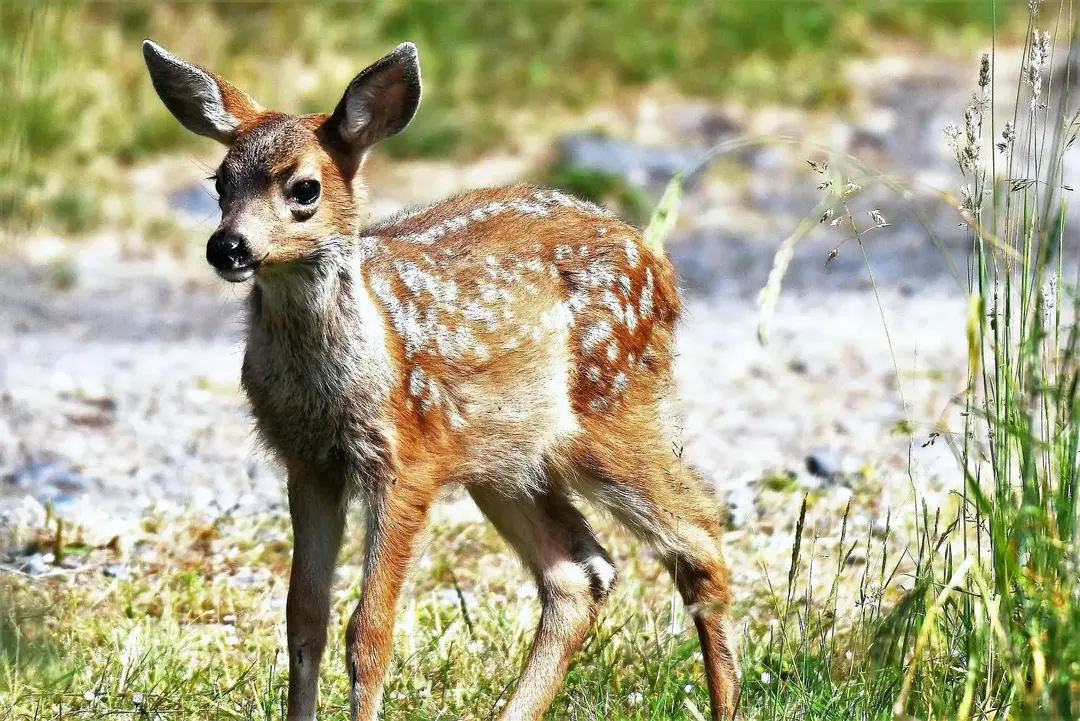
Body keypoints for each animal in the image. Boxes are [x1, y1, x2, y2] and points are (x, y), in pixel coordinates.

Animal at [141, 40, 743, 721]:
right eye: (220, 182)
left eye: (304, 188)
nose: (228, 247)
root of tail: (661, 269)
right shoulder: (309, 461)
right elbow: (305, 619)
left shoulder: (406, 459)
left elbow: (369, 632)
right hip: (506, 460)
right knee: (580, 573)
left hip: (612, 408)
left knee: (698, 533)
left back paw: (725, 703)